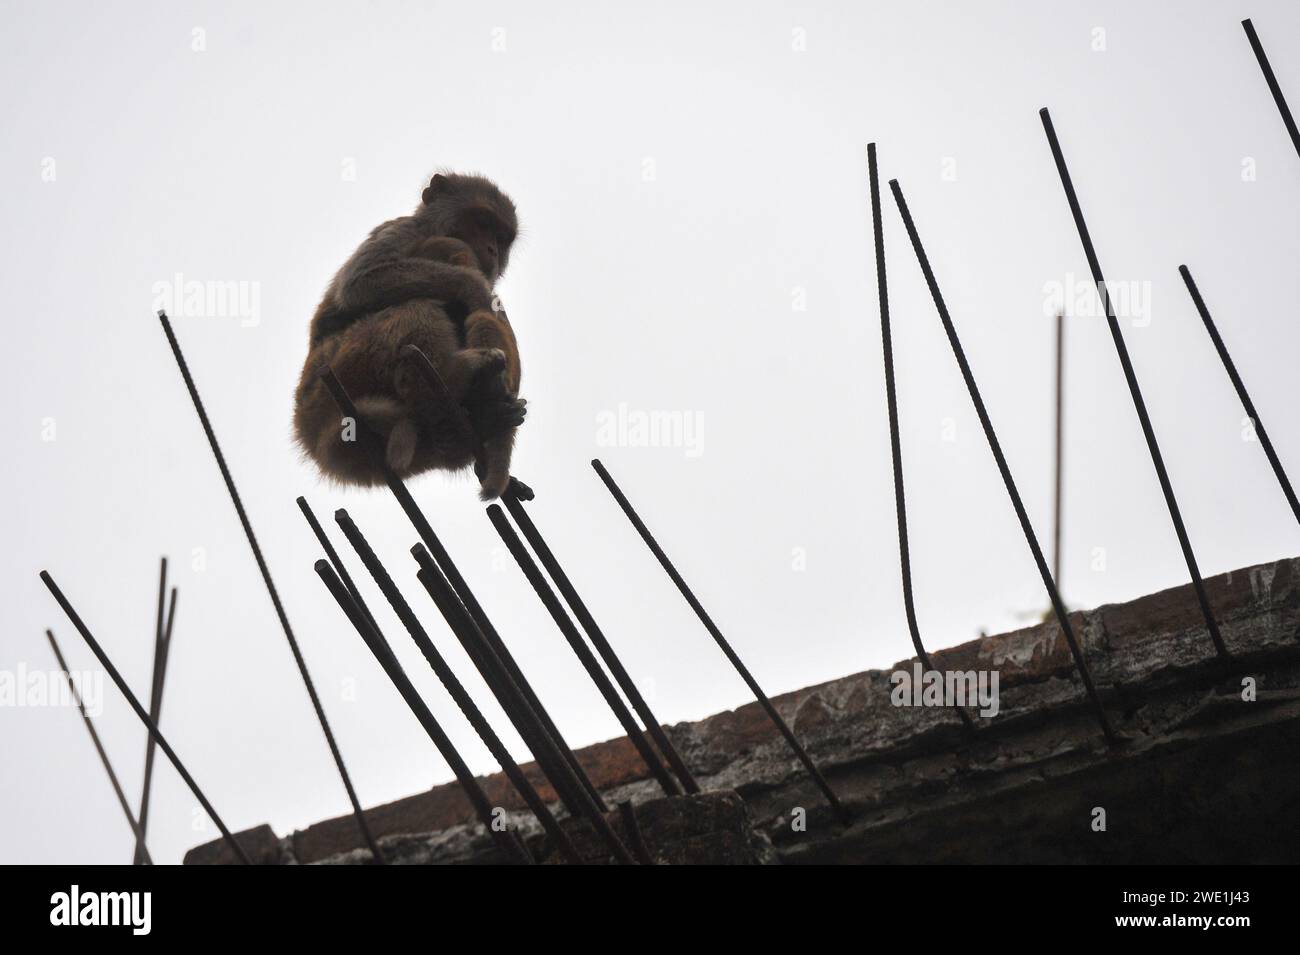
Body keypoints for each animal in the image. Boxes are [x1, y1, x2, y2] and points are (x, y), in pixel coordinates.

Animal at [293, 172, 526, 499]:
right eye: (481, 222)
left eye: (502, 237)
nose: (493, 251)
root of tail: (309, 431)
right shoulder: (401, 229)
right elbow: (360, 282)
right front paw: (472, 285)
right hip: (336, 369)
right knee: (421, 301)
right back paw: (457, 373)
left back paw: (475, 421)